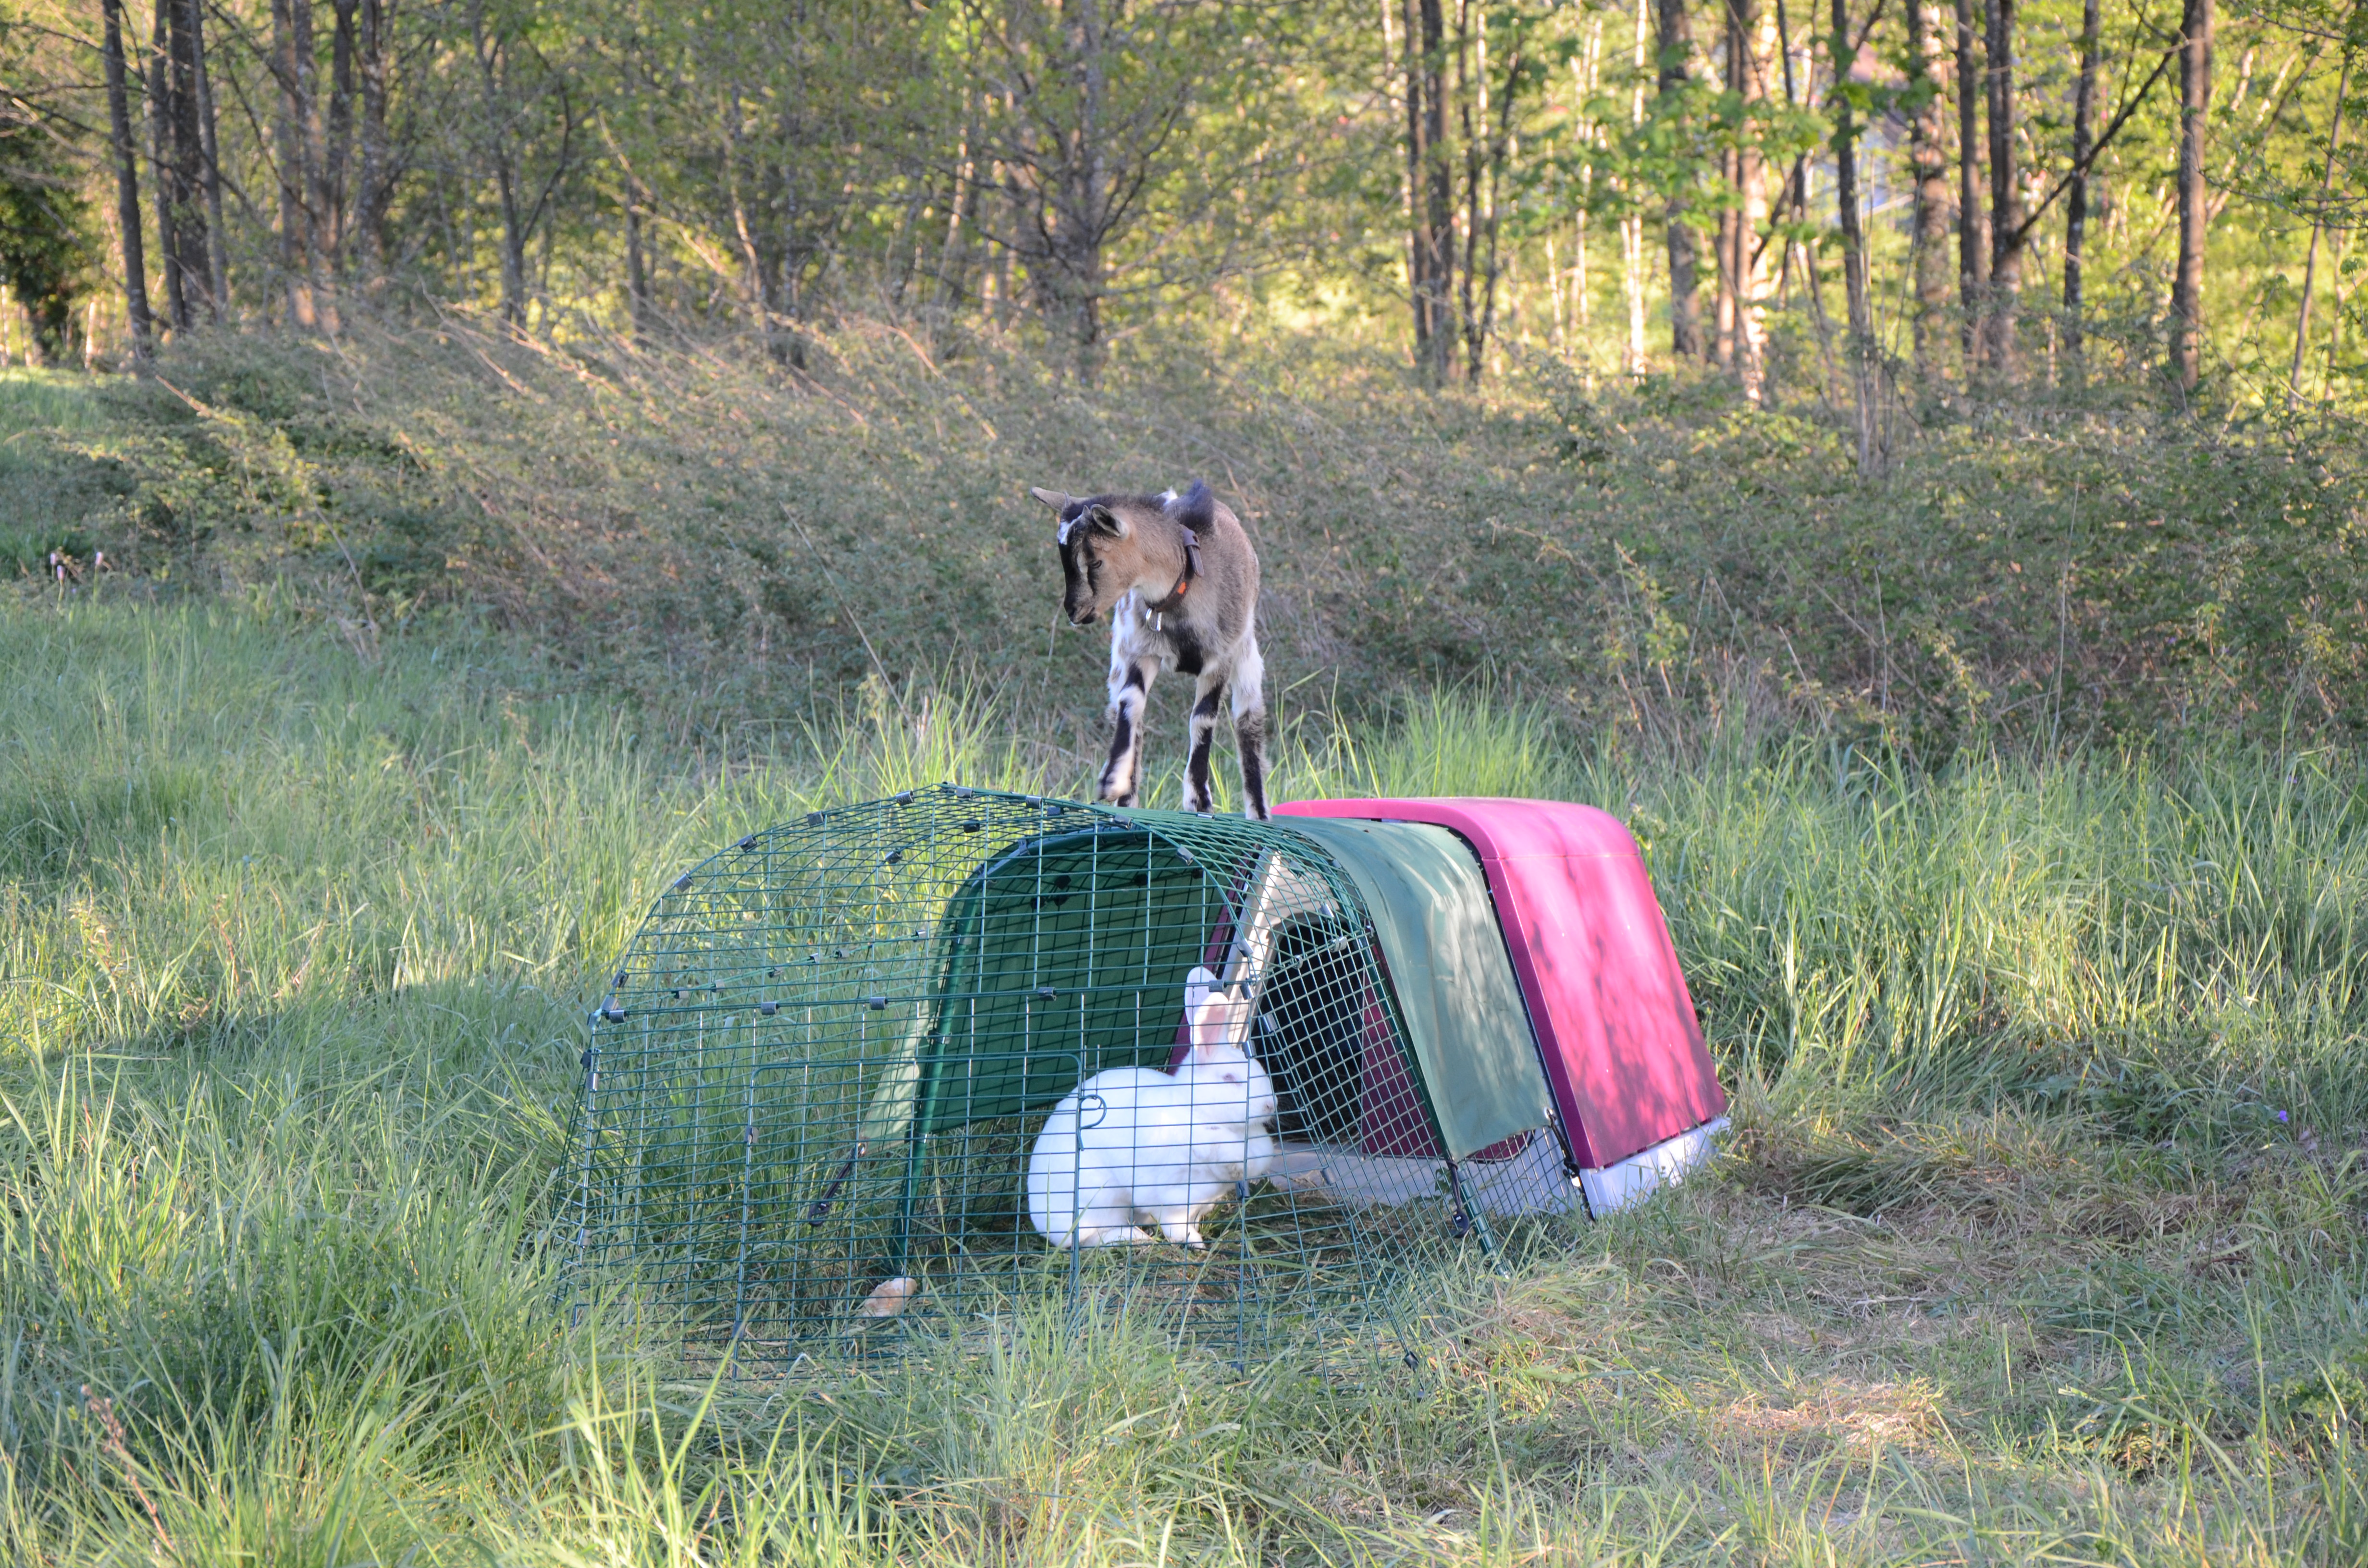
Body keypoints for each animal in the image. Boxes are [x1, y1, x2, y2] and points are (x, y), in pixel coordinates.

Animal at [1027, 966, 1279, 1249]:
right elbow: (1176, 1226)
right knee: (1093, 1236)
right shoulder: (1174, 1195)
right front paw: (1195, 1243)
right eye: (1229, 1078)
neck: (1197, 1115)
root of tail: (1041, 1219)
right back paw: (1136, 1238)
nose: (1271, 1104)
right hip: (1097, 1202)